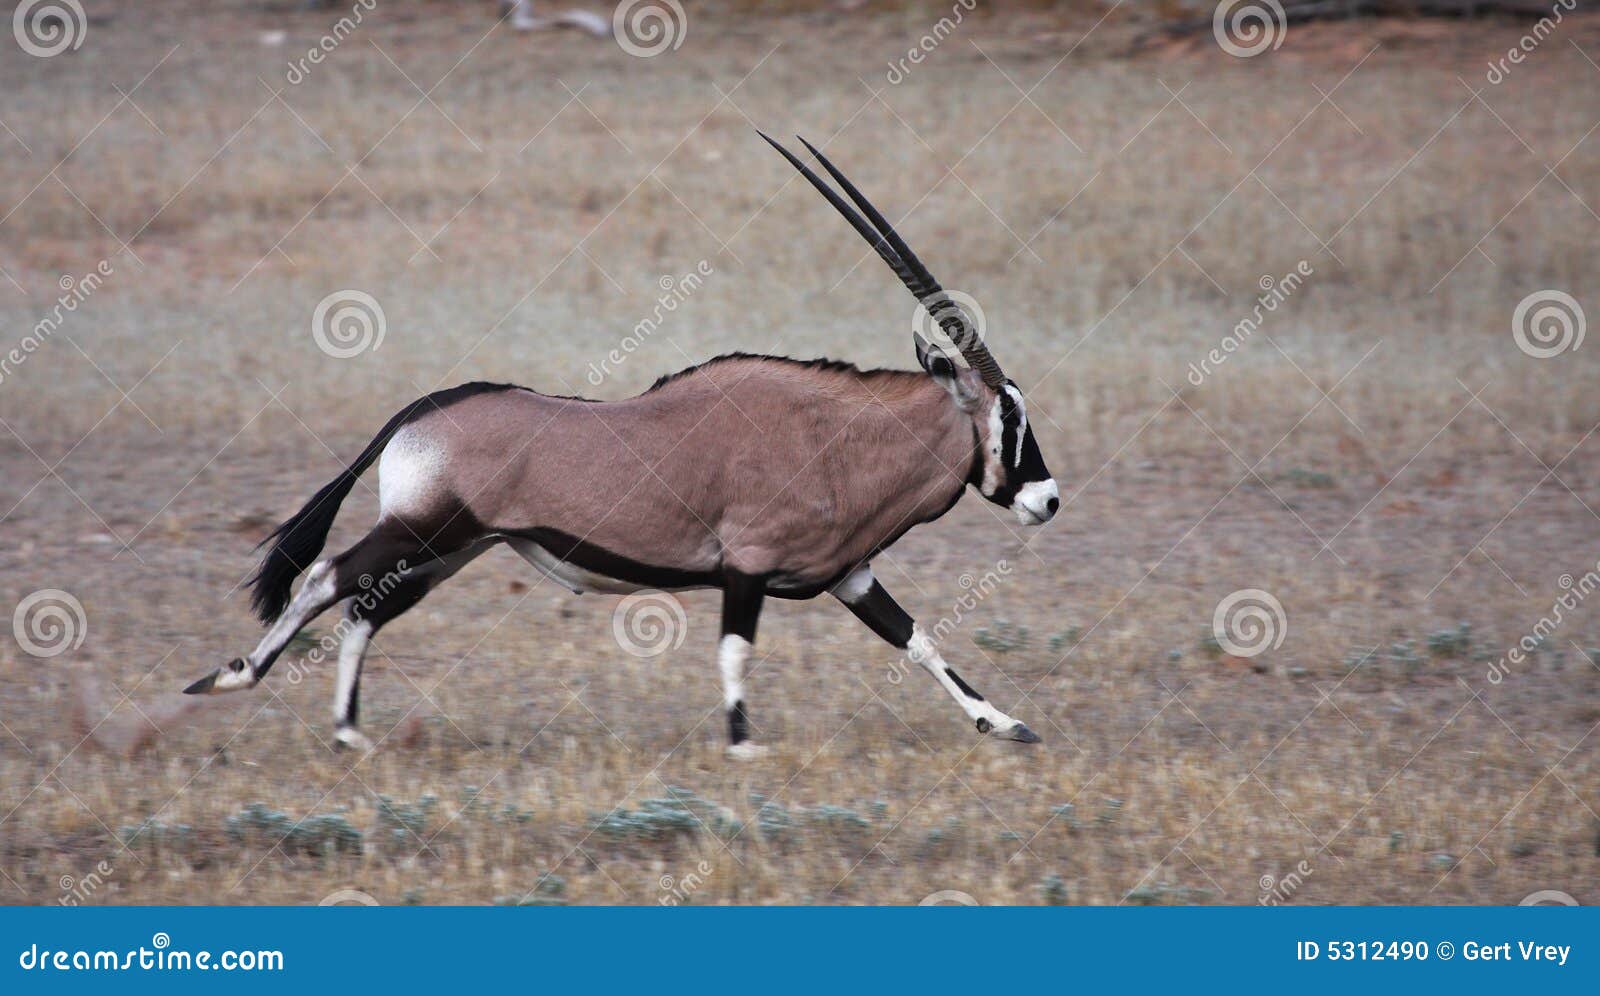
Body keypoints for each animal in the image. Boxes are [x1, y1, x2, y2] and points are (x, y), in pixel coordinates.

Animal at [185, 135, 1059, 755]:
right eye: (1009, 419)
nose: (1047, 500)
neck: (833, 437)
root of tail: (423, 409)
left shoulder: (849, 574)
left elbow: (916, 639)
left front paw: (1005, 723)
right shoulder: (746, 567)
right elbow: (735, 652)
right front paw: (742, 746)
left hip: (450, 550)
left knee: (365, 606)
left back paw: (348, 731)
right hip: (425, 531)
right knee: (327, 577)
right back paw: (235, 677)